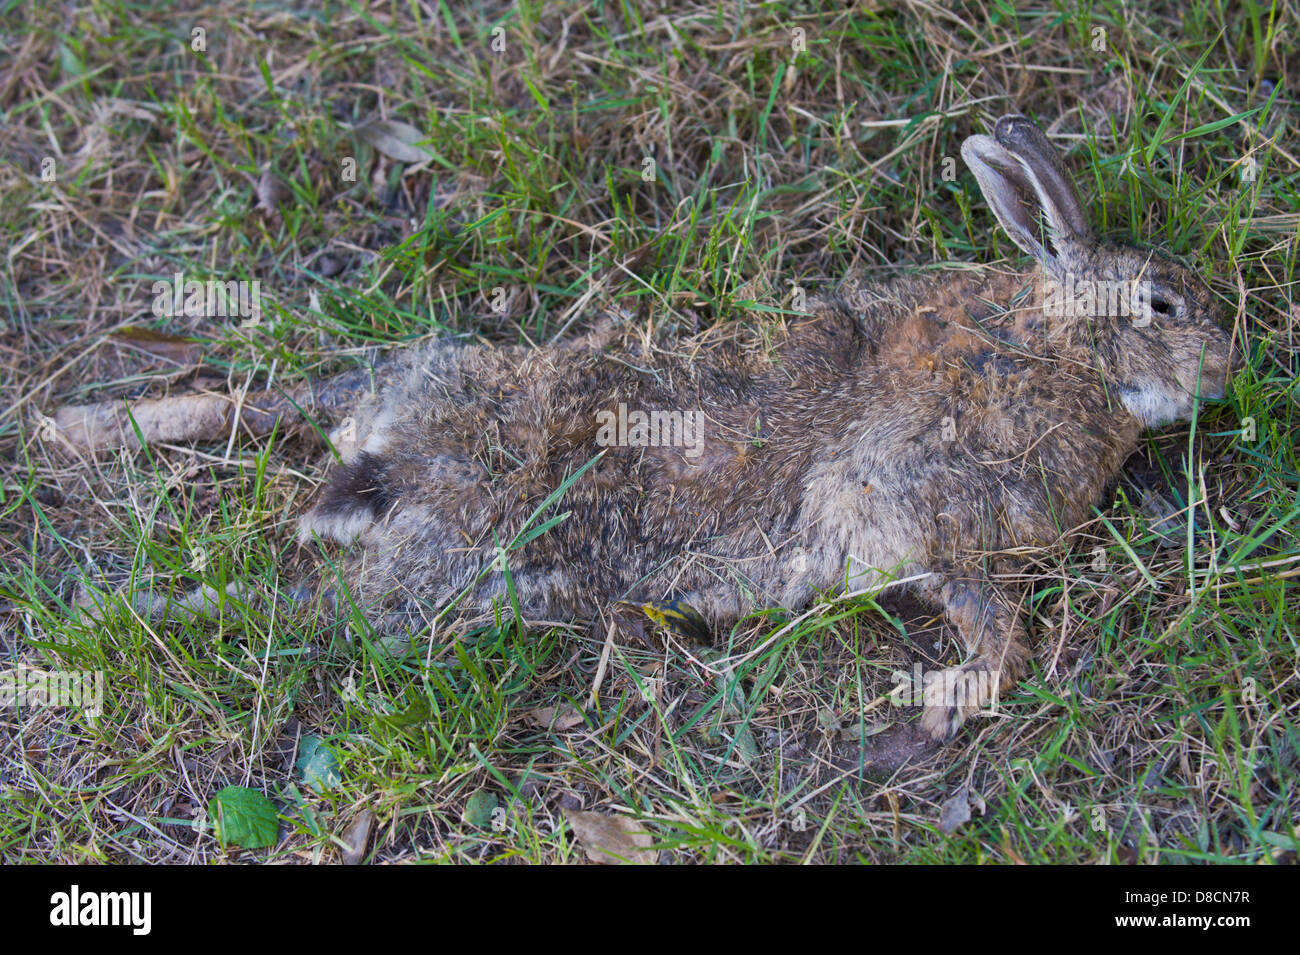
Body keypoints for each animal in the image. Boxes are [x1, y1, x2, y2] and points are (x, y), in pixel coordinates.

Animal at [50, 115, 1236, 742]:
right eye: (1163, 305)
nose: (1230, 364)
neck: (1060, 348)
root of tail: (376, 474)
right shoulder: (922, 510)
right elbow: (1000, 633)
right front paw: (942, 701)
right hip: (446, 527)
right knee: (303, 579)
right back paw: (113, 581)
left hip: (441, 494)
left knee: (278, 457)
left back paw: (84, 451)